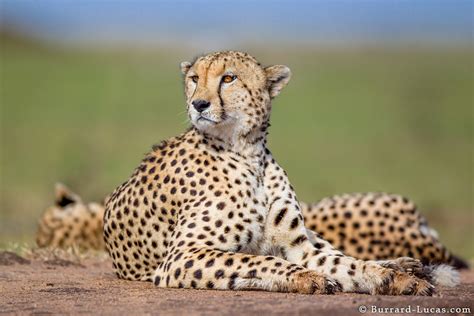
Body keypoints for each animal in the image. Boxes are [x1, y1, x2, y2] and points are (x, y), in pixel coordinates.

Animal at [36, 51, 462, 296]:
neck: (247, 152)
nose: (198, 104)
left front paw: (397, 279)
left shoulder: (299, 244)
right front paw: (303, 278)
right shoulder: (183, 255)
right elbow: (257, 262)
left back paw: (405, 264)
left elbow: (347, 264)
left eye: (228, 78)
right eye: (194, 79)